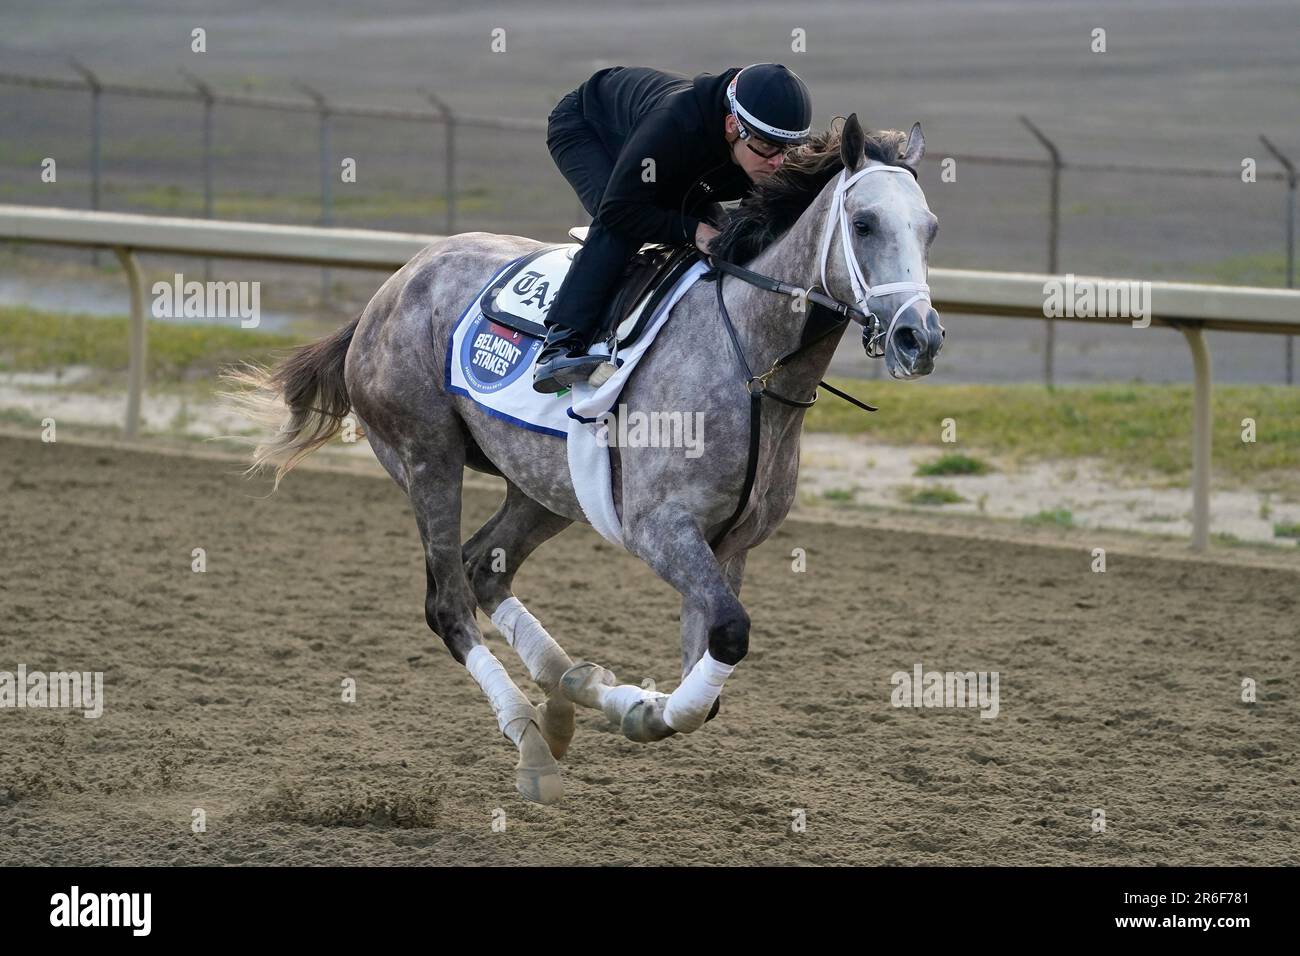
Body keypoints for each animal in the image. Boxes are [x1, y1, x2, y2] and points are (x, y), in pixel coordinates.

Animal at [223, 113, 944, 804]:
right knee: (448, 603)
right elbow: (728, 639)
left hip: (544, 487)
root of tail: (390, 288)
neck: (750, 365)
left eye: (930, 230)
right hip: (427, 459)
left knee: (484, 568)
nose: (921, 338)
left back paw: (567, 692)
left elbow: (706, 674)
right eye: (864, 222)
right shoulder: (659, 529)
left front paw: (629, 704)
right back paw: (531, 741)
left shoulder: (730, 545)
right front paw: (638, 710)